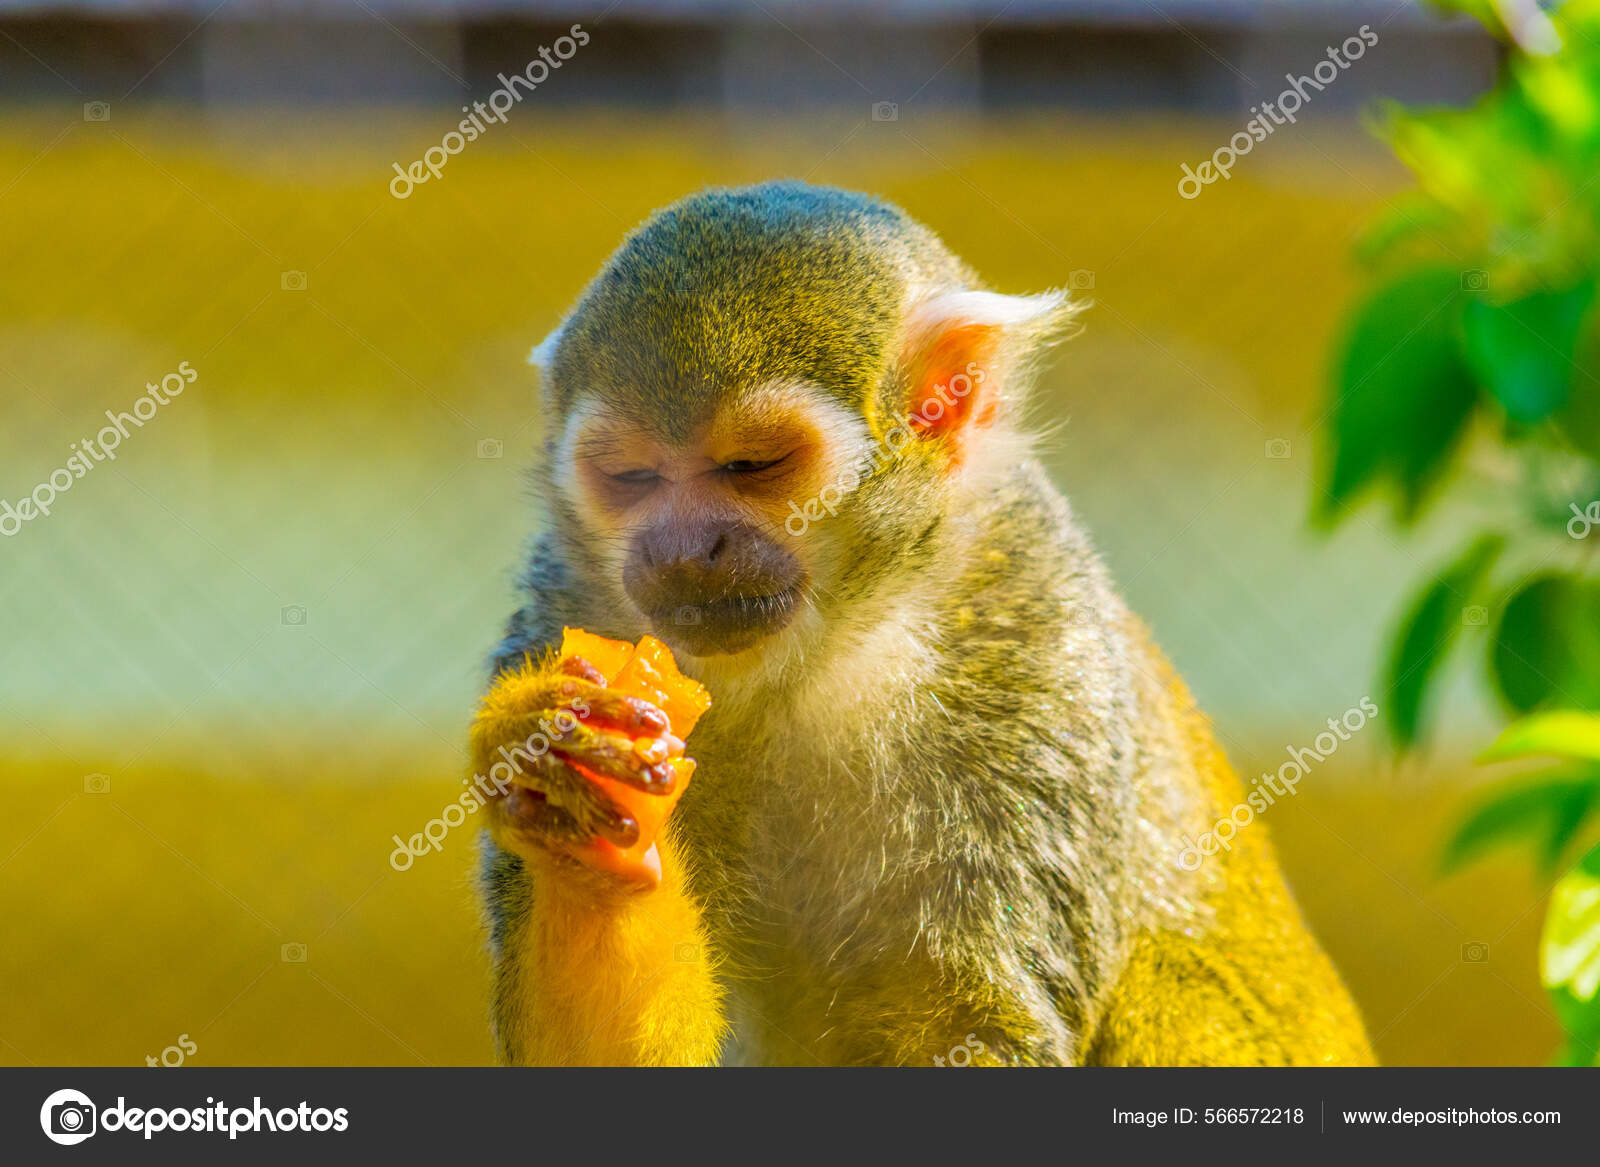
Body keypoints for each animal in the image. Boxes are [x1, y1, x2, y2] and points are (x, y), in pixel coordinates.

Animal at [470, 180, 1374, 1067]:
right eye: (630, 475)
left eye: (754, 464)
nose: (684, 549)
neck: (824, 651)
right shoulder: (565, 605)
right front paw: (573, 811)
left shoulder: (1036, 629)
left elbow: (978, 1017)